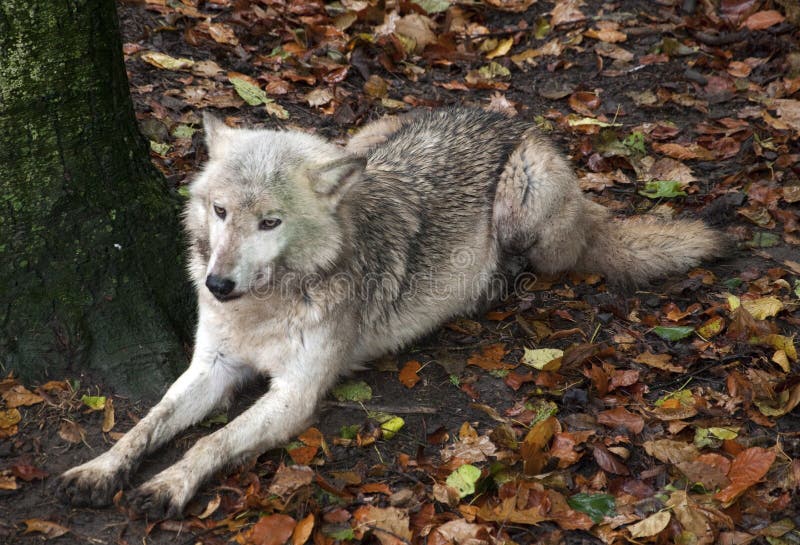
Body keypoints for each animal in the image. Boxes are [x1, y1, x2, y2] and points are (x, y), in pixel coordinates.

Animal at [57, 108, 726, 517]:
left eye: (270, 222)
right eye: (219, 212)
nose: (218, 284)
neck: (268, 305)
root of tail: (507, 116)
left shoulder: (294, 394)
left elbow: (211, 443)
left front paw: (167, 485)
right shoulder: (213, 366)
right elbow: (146, 424)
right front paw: (100, 469)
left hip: (524, 202)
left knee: (543, 263)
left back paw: (494, 285)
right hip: (363, 142)